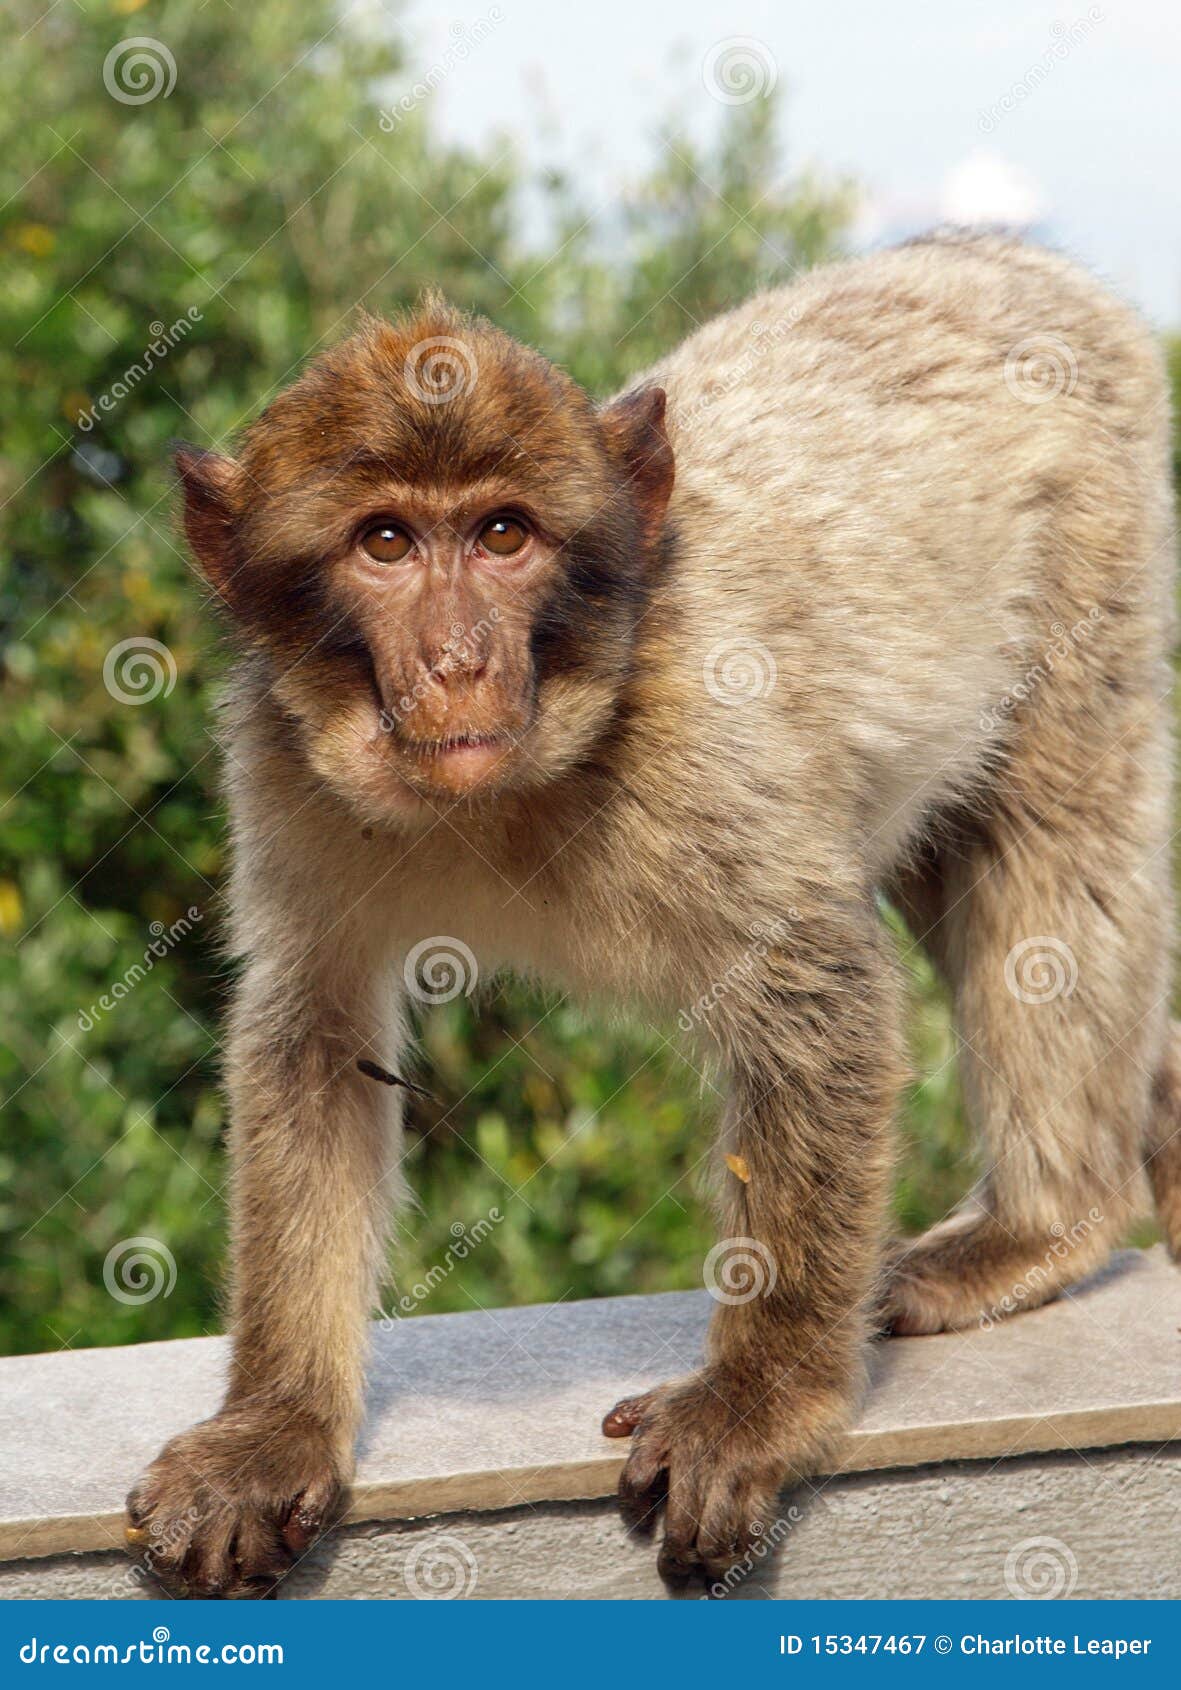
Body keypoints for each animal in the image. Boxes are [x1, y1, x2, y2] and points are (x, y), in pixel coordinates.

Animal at [126, 231, 1179, 1597]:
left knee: (1048, 832)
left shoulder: (702, 739)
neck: (511, 789)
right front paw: (275, 1425)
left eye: (503, 534)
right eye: (386, 542)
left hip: (1094, 539)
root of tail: (995, 251)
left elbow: (815, 997)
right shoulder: (281, 763)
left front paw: (756, 1403)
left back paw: (1044, 1225)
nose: (460, 662)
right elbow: (311, 1033)